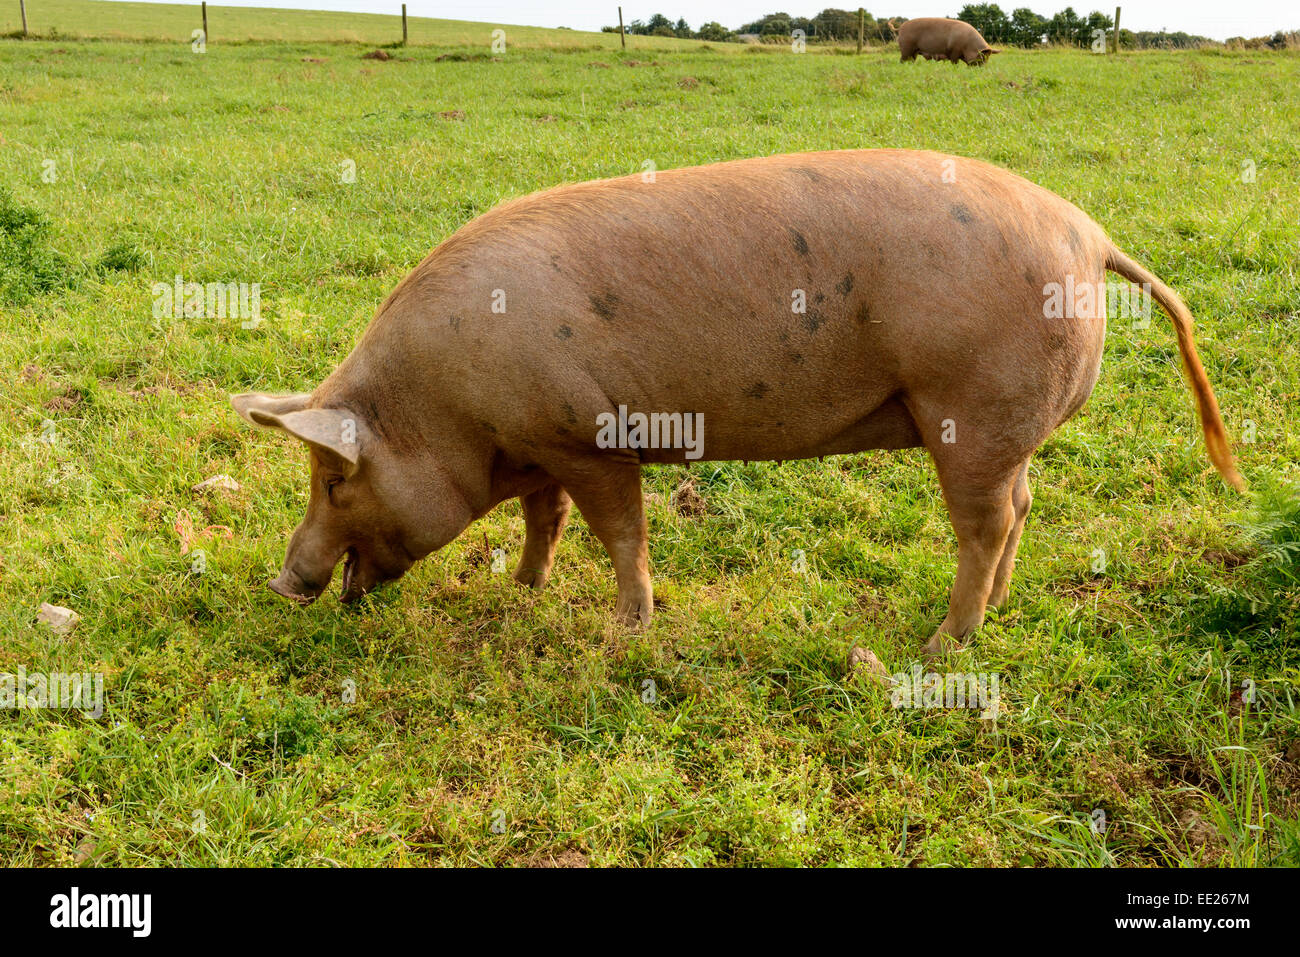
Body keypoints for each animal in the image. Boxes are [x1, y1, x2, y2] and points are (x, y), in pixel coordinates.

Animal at [232, 149, 1241, 655]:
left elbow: (620, 533)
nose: (281, 581)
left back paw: (943, 643)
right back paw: (986, 616)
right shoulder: (538, 443)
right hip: (1003, 427)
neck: (449, 412)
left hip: (971, 408)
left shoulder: (591, 436)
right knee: (1025, 505)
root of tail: (1092, 235)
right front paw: (523, 588)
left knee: (987, 522)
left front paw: (626, 631)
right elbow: (543, 519)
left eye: (333, 477)